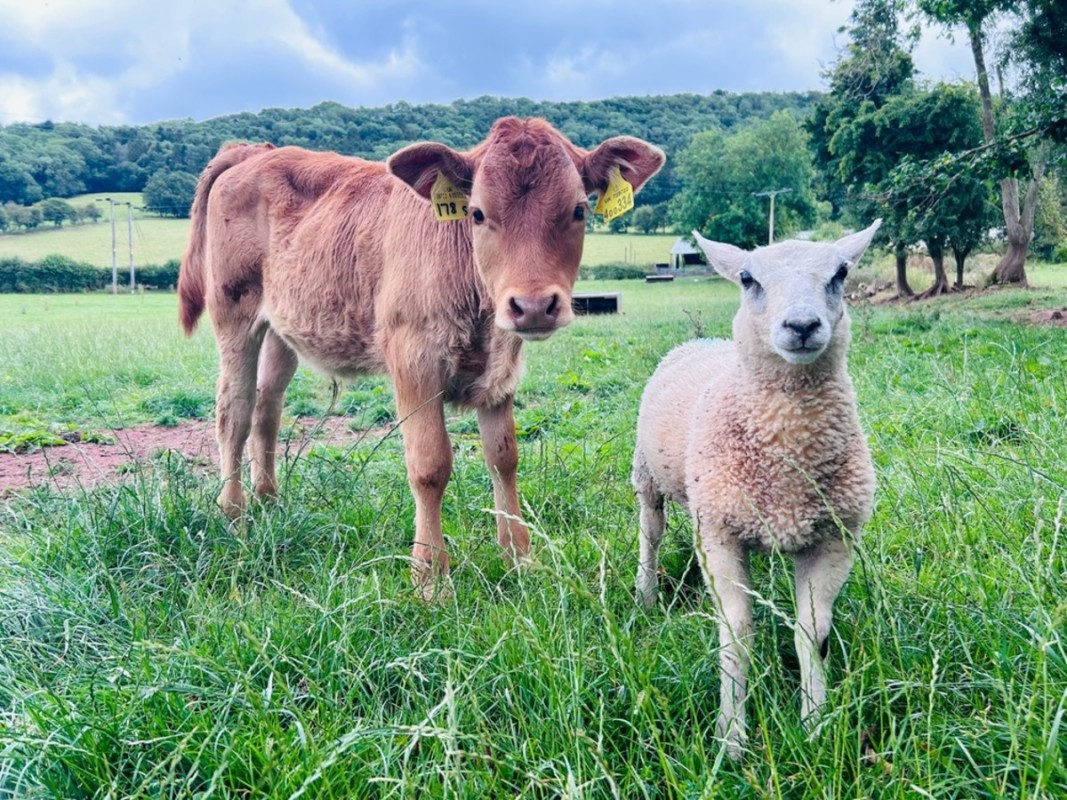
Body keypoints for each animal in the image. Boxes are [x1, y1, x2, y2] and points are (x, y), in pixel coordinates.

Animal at [178, 117, 664, 597]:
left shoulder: (501, 371)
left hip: (283, 330)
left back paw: (269, 502)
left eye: (579, 210)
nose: (532, 306)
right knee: (234, 411)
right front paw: (430, 578)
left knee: (267, 408)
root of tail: (256, 150)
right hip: (235, 314)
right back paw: (234, 517)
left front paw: (521, 560)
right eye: (478, 213)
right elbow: (430, 465)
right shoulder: (413, 360)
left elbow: (504, 458)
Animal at [631, 220, 881, 759]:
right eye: (748, 278)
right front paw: (731, 738)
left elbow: (812, 631)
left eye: (840, 272)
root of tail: (704, 341)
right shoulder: (718, 532)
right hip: (647, 475)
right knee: (652, 531)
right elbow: (737, 631)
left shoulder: (836, 536)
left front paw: (815, 725)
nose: (802, 326)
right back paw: (647, 593)